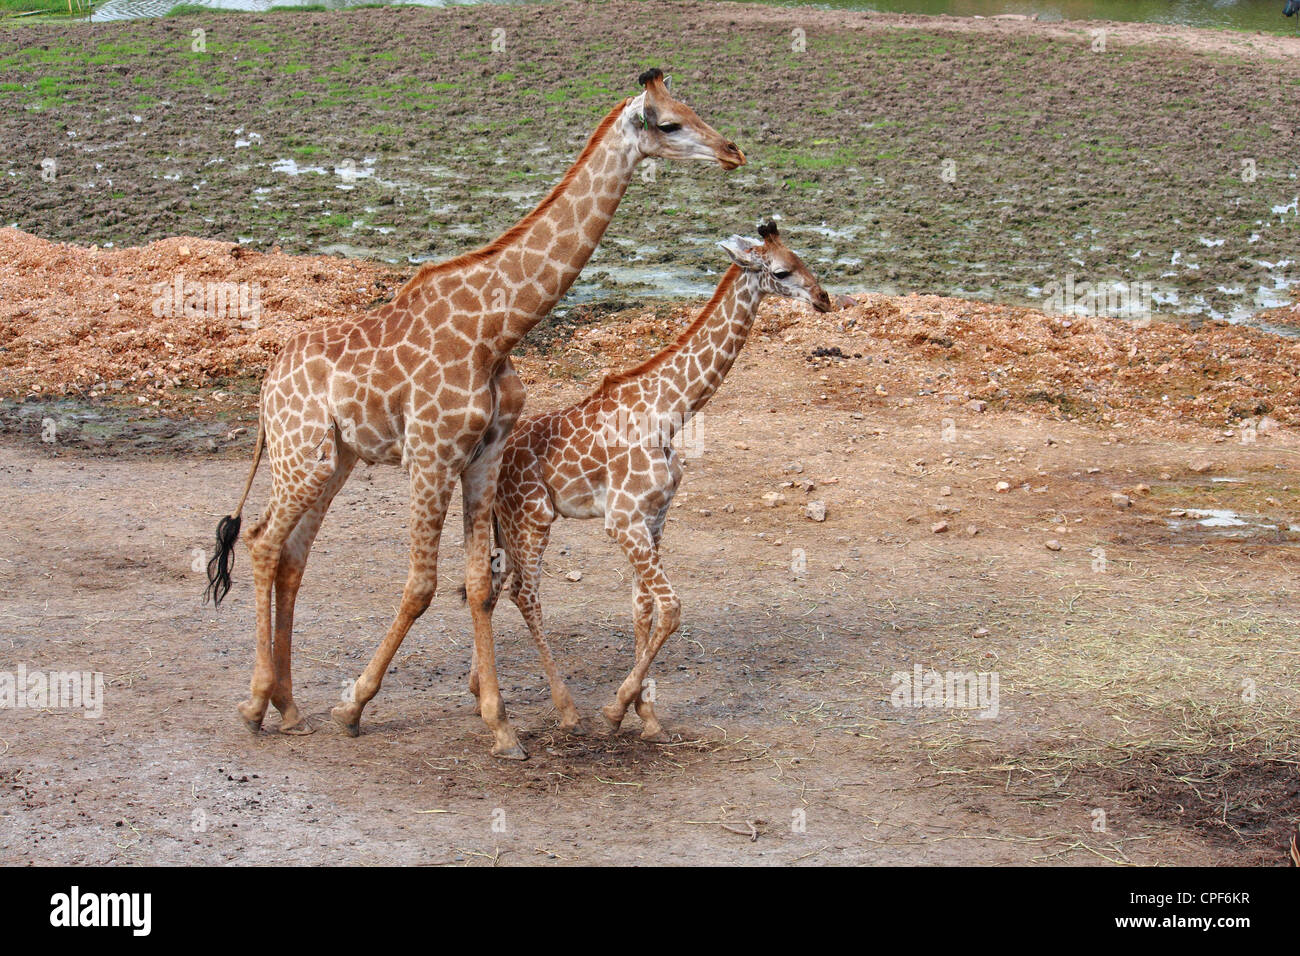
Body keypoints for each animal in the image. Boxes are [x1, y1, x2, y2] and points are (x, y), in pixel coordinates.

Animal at [203, 68, 745, 760]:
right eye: (670, 123)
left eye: (693, 108)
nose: (732, 151)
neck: (497, 327)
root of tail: (268, 380)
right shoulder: (432, 454)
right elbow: (422, 585)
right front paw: (354, 706)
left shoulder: (483, 455)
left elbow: (480, 586)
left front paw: (500, 724)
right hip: (300, 451)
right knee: (263, 542)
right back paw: (254, 704)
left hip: (334, 457)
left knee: (293, 554)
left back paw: (290, 706)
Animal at [485, 221, 832, 740]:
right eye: (782, 270)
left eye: (801, 256)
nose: (824, 298)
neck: (669, 414)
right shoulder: (623, 520)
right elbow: (671, 607)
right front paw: (616, 709)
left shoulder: (653, 517)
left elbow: (642, 606)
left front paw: (646, 717)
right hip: (532, 516)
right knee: (523, 594)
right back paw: (565, 709)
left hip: (505, 523)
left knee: (486, 588)